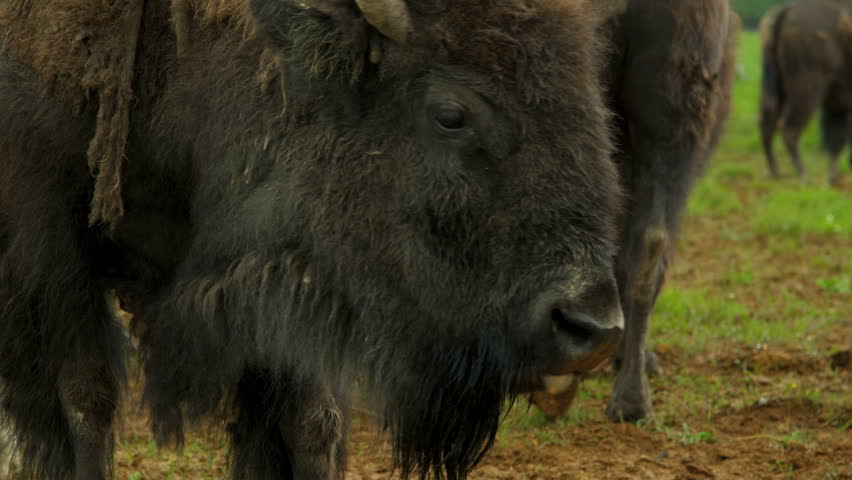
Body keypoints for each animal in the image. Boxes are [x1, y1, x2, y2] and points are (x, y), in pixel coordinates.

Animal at [0, 0, 627, 479]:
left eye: (591, 97)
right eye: (450, 114)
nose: (593, 328)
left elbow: (312, 425)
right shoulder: (46, 242)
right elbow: (85, 400)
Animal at [760, 0, 852, 185]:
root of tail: (787, 9)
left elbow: (837, 138)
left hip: (778, 88)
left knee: (767, 123)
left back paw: (776, 173)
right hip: (807, 89)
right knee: (789, 128)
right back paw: (805, 177)